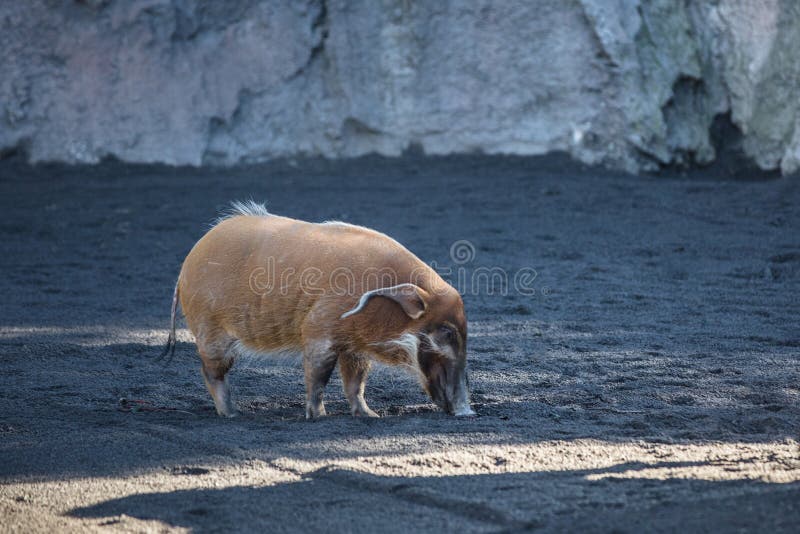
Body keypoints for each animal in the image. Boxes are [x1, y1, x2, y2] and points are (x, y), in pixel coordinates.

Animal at [161, 201, 475, 419]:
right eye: (447, 333)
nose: (466, 411)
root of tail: (183, 270)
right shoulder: (318, 330)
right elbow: (318, 374)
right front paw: (318, 417)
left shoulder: (354, 347)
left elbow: (356, 382)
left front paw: (370, 415)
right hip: (211, 331)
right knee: (212, 372)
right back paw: (232, 413)